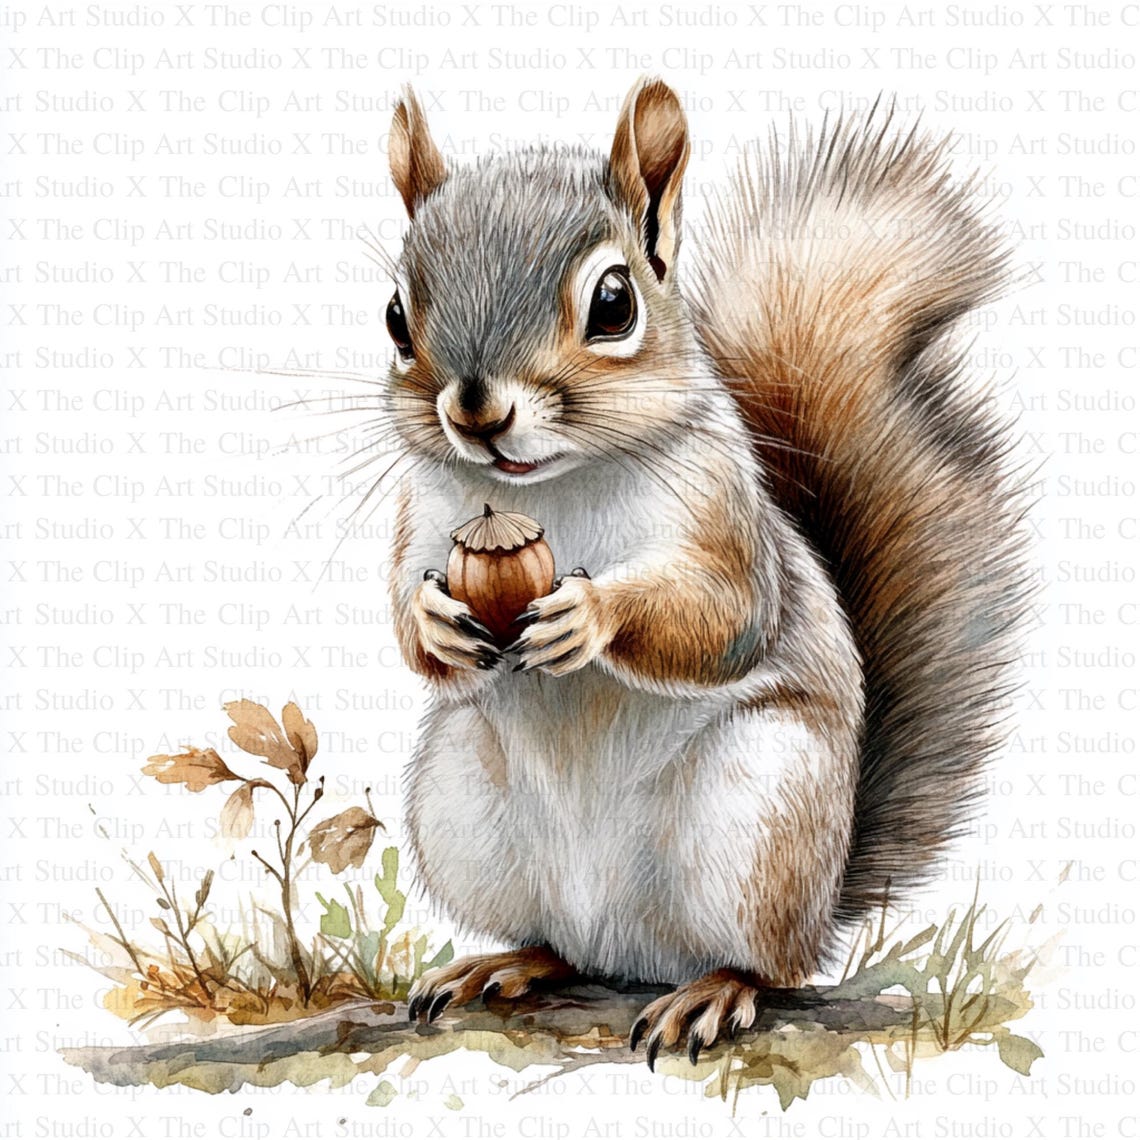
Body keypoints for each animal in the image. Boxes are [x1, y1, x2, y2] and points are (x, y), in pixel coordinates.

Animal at [384, 78, 1028, 1066]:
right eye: (394, 316)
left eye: (615, 304)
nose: (476, 412)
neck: (546, 485)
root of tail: (630, 947)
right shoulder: (421, 515)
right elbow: (396, 613)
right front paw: (433, 627)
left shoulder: (724, 515)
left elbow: (724, 619)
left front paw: (591, 615)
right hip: (460, 801)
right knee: (558, 943)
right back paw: (504, 962)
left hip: (761, 813)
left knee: (769, 962)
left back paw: (715, 991)